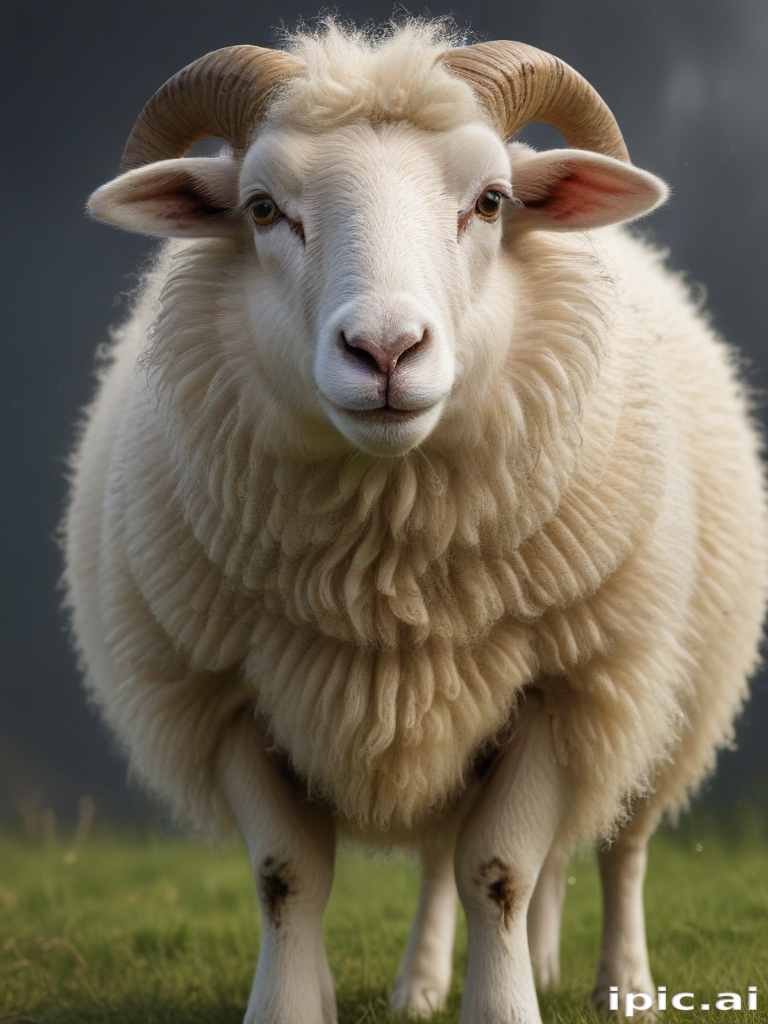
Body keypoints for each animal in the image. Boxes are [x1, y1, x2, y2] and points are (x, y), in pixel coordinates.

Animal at [63, 21, 768, 1024]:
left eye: (492, 201)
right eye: (262, 208)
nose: (386, 350)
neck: (388, 577)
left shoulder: (562, 688)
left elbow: (501, 870)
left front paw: (507, 1004)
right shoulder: (229, 697)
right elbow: (288, 877)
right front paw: (292, 1003)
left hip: (664, 693)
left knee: (618, 842)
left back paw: (618, 981)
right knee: (444, 857)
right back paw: (423, 983)